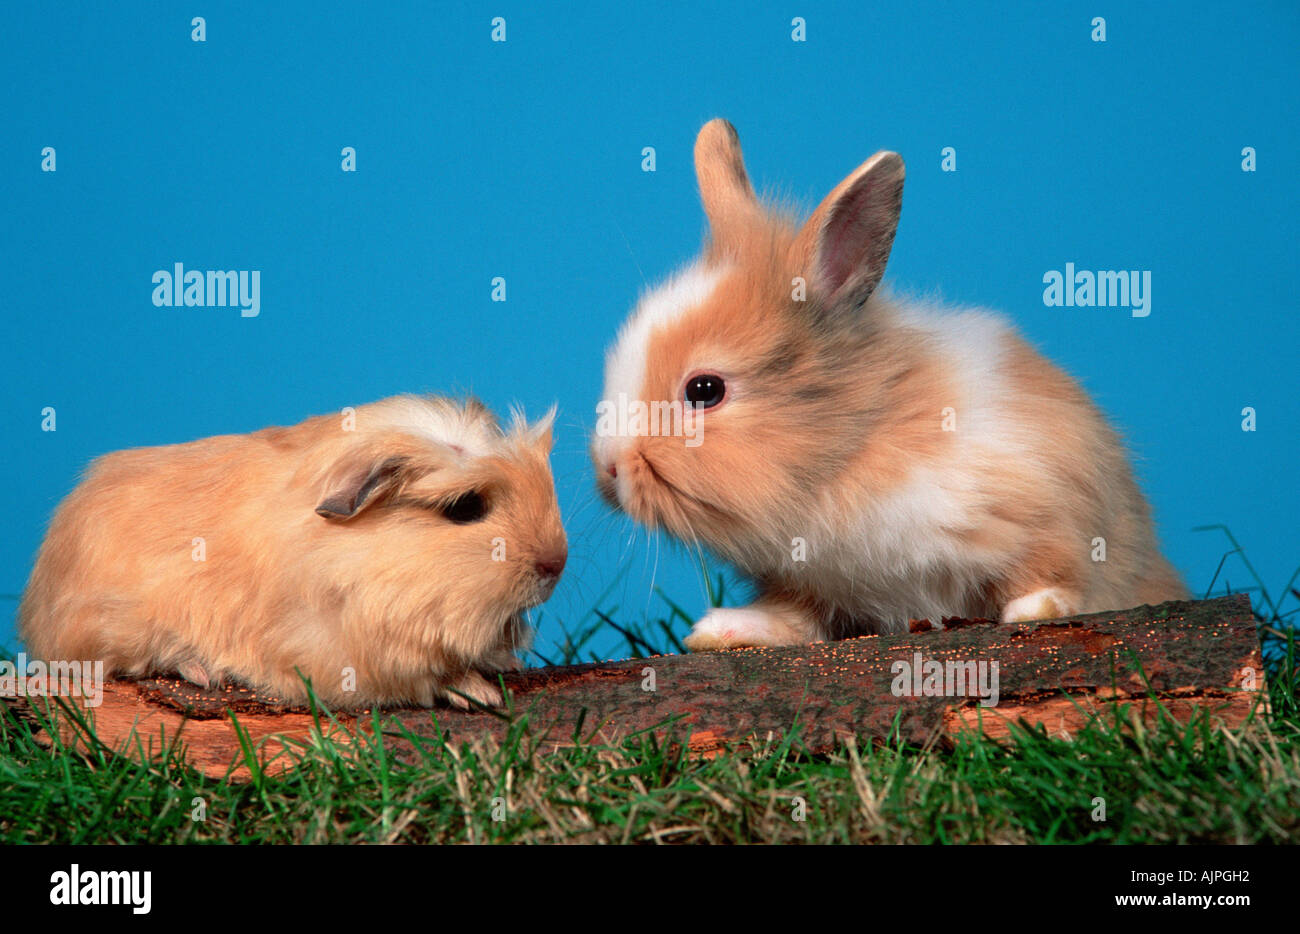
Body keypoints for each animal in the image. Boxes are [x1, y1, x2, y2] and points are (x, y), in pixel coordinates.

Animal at [19, 394, 567, 708]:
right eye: (464, 508)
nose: (555, 564)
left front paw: (507, 664)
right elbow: (426, 676)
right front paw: (479, 695)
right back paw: (201, 671)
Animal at [592, 119, 1186, 650]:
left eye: (705, 390)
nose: (609, 470)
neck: (853, 446)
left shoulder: (1044, 504)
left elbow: (1053, 570)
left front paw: (1032, 610)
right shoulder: (808, 582)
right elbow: (795, 616)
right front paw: (723, 631)